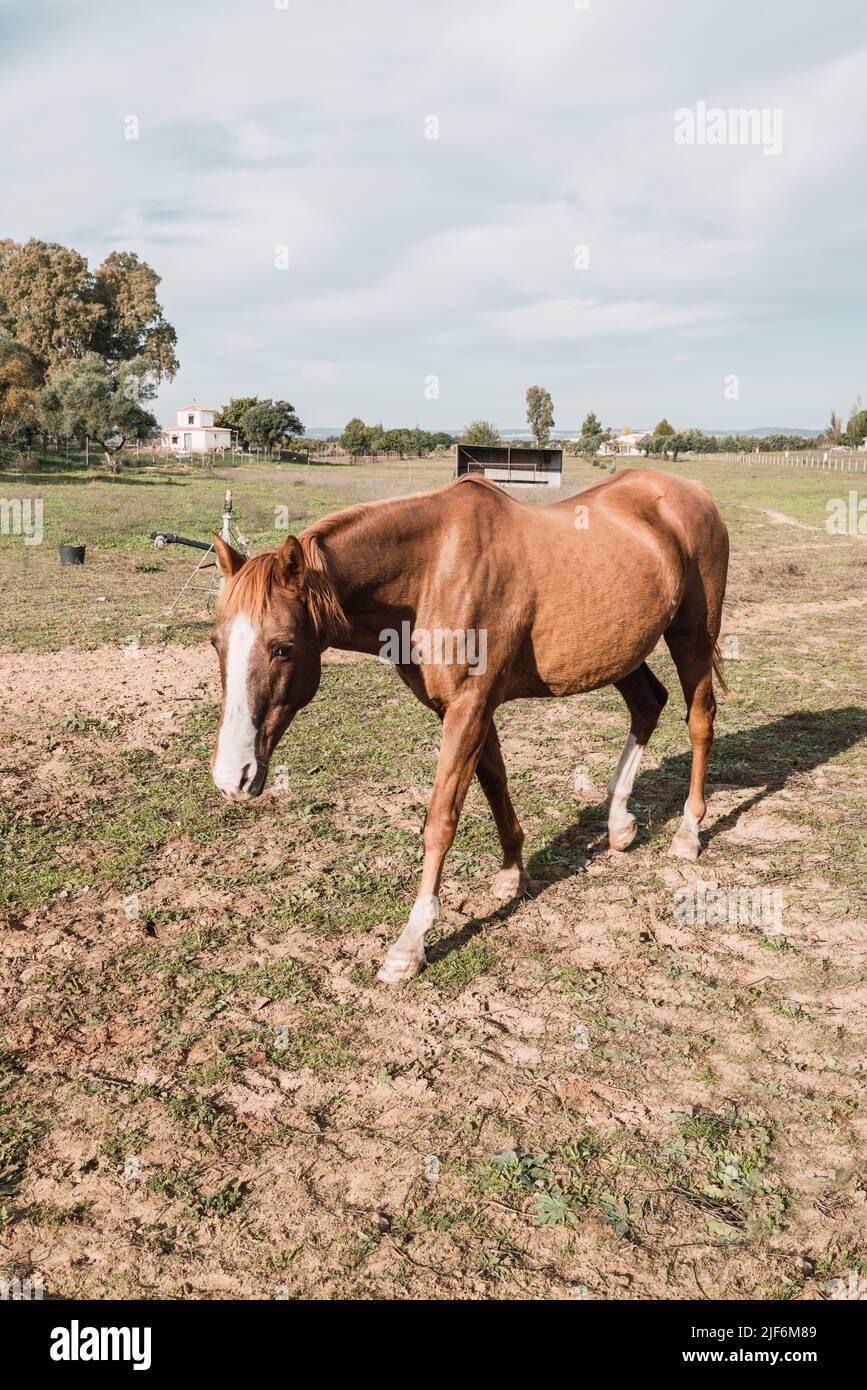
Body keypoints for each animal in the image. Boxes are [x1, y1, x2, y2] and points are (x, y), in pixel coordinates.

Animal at [209, 467, 729, 983]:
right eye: (216, 642)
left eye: (283, 648)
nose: (232, 776)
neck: (433, 572)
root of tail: (690, 493)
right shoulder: (466, 709)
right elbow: (494, 781)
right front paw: (513, 873)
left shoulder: (469, 707)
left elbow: (441, 819)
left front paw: (411, 943)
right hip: (620, 651)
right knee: (647, 706)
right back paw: (620, 824)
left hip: (692, 637)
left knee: (699, 721)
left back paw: (689, 832)